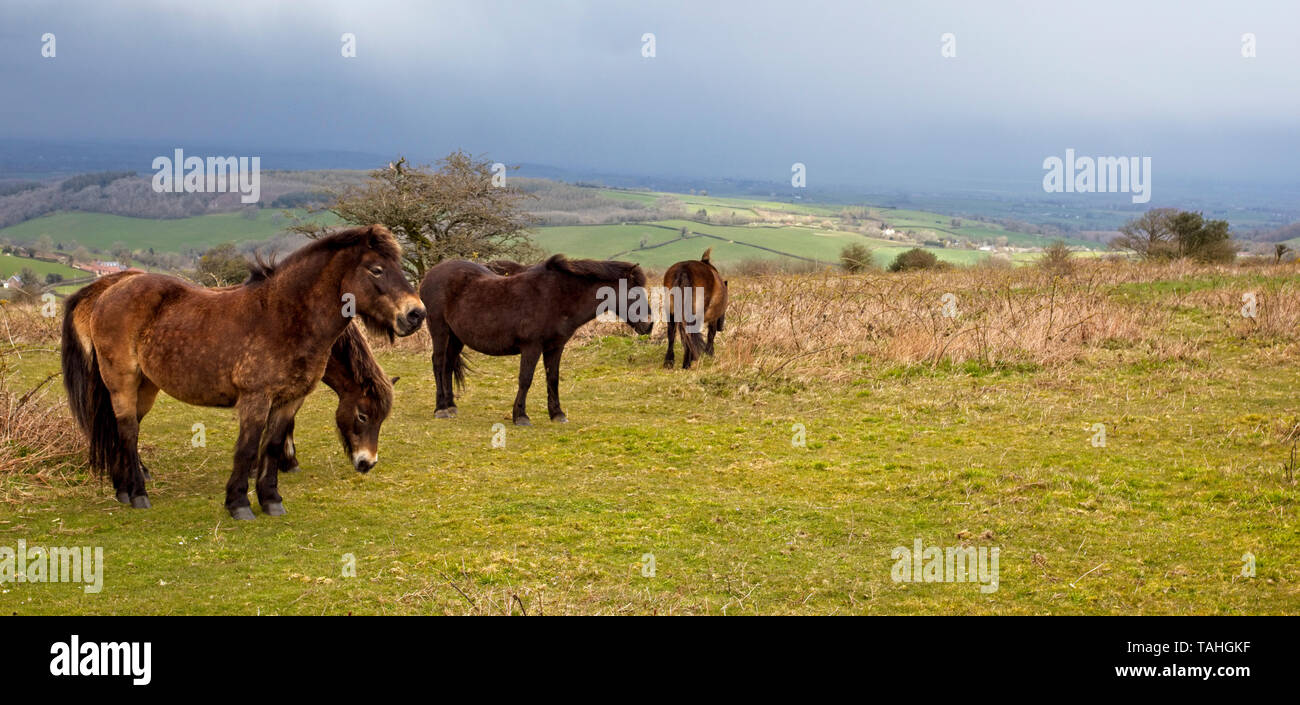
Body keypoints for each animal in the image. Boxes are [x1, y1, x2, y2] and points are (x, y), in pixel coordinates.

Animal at [419, 254, 653, 425]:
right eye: (634, 293)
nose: (649, 325)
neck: (557, 296)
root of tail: (430, 275)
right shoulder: (531, 347)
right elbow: (526, 379)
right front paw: (520, 416)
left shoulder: (555, 347)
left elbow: (553, 379)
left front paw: (557, 414)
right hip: (439, 329)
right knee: (438, 363)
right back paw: (441, 408)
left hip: (456, 336)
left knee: (448, 365)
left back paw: (450, 405)